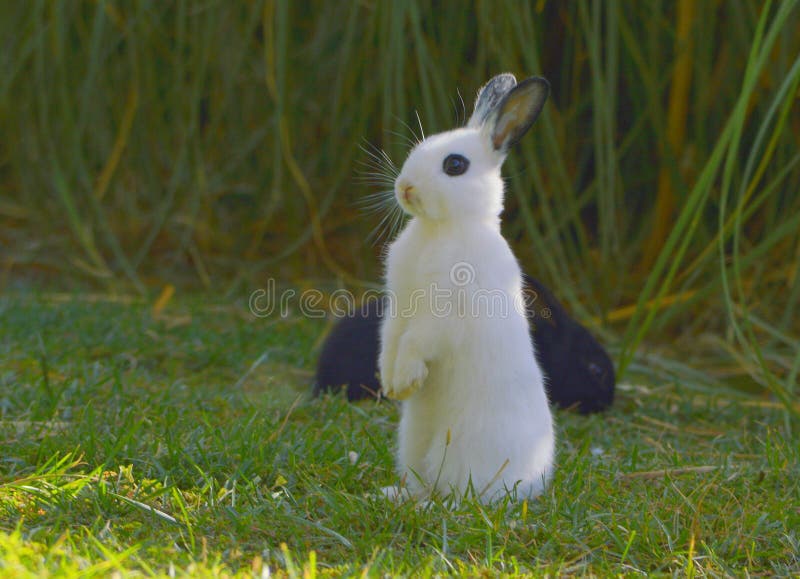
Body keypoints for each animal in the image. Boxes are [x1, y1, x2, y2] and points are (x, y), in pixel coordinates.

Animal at [376, 73, 555, 503]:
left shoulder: (445, 314)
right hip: (413, 439)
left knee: (460, 499)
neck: (440, 229)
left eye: (454, 165)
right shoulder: (397, 306)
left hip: (462, 449)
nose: (404, 187)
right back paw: (391, 495)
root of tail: (532, 482)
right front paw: (391, 384)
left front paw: (406, 378)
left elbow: (416, 340)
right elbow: (390, 338)